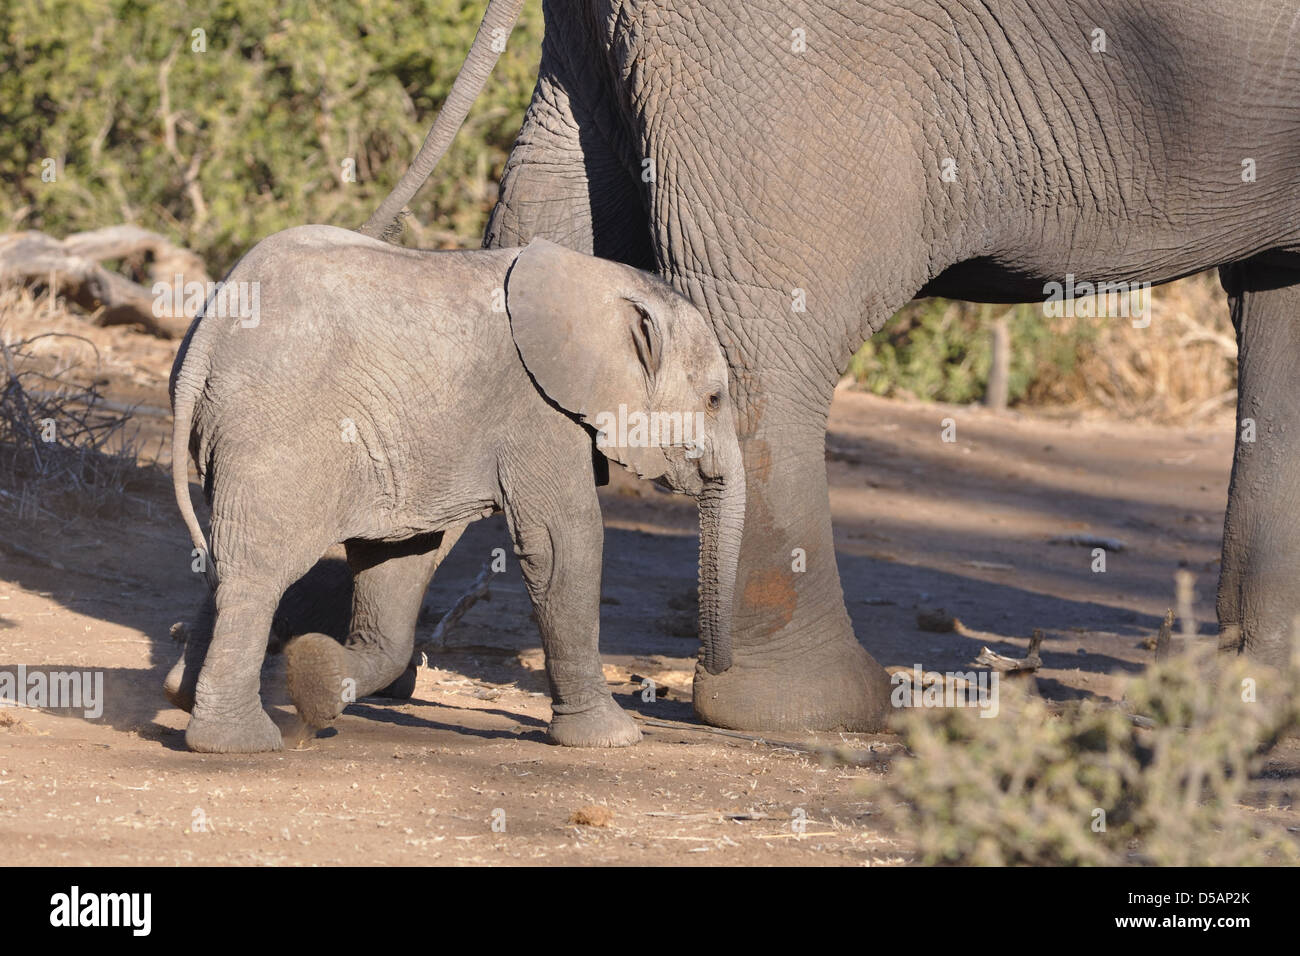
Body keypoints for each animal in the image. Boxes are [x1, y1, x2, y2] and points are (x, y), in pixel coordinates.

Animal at [169, 223, 745, 753]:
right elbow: (563, 542)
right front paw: (611, 739)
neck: (601, 281)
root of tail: (206, 337)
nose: (716, 675)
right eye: (715, 399)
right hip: (276, 430)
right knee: (256, 570)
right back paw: (235, 743)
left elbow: (398, 557)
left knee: (224, 562)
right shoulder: (538, 410)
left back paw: (183, 695)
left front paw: (318, 680)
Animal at [360, 0, 1300, 732]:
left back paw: (355, 668)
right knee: (776, 325)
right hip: (786, 60)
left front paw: (1255, 691)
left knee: (539, 243)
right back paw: (813, 709)